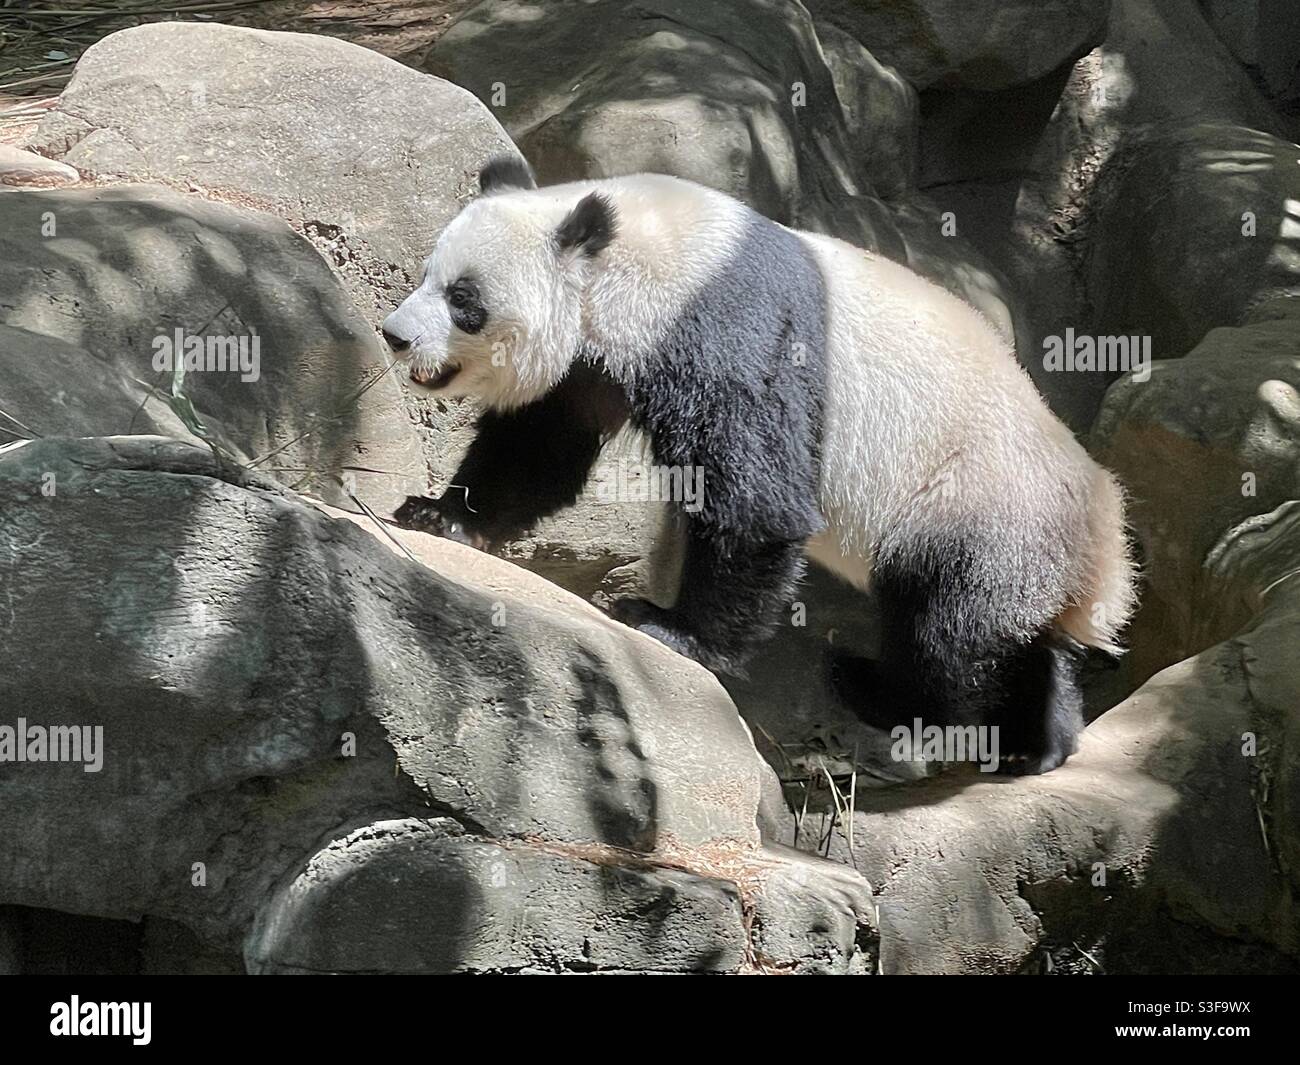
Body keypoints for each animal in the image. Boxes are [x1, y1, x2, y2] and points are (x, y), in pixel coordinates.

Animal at [382, 155, 1137, 775]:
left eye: (464, 299)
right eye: (425, 277)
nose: (394, 335)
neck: (635, 255)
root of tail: (1105, 544)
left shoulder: (722, 328)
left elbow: (752, 494)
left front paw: (669, 627)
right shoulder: (593, 361)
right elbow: (540, 445)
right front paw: (441, 517)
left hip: (977, 503)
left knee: (948, 627)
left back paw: (886, 693)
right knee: (1018, 640)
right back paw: (1037, 743)